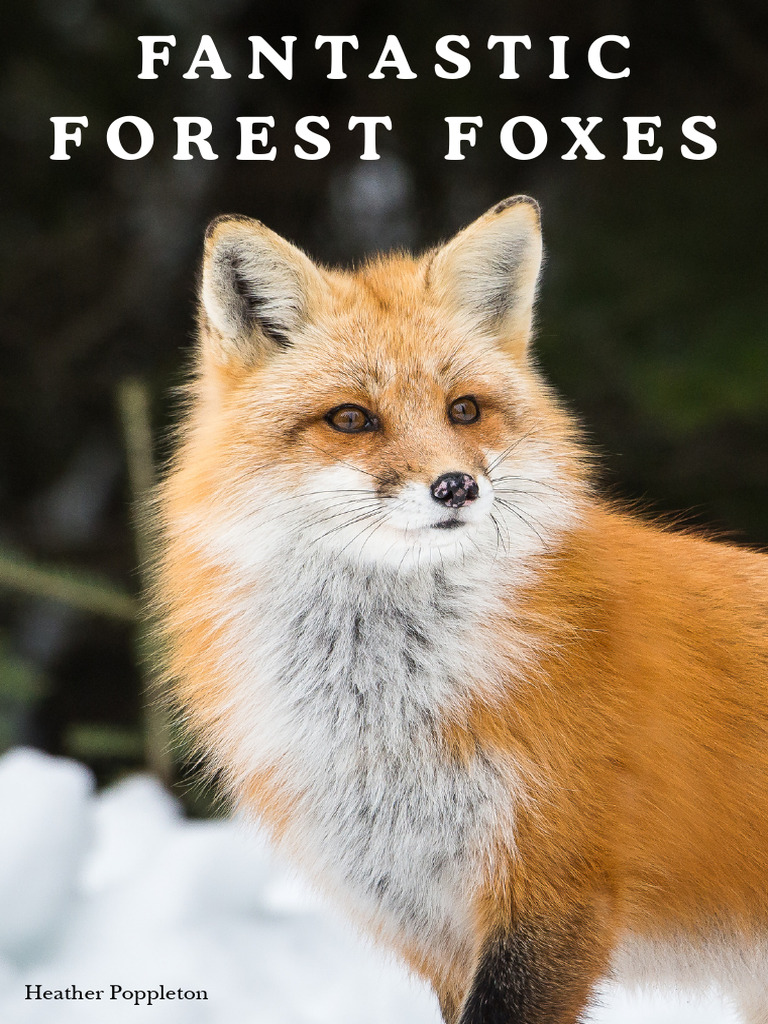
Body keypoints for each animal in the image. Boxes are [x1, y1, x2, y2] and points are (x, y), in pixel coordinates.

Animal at [155, 196, 768, 1024]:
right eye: (351, 418)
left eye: (465, 410)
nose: (456, 487)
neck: (388, 727)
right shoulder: (430, 924)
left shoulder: (551, 897)